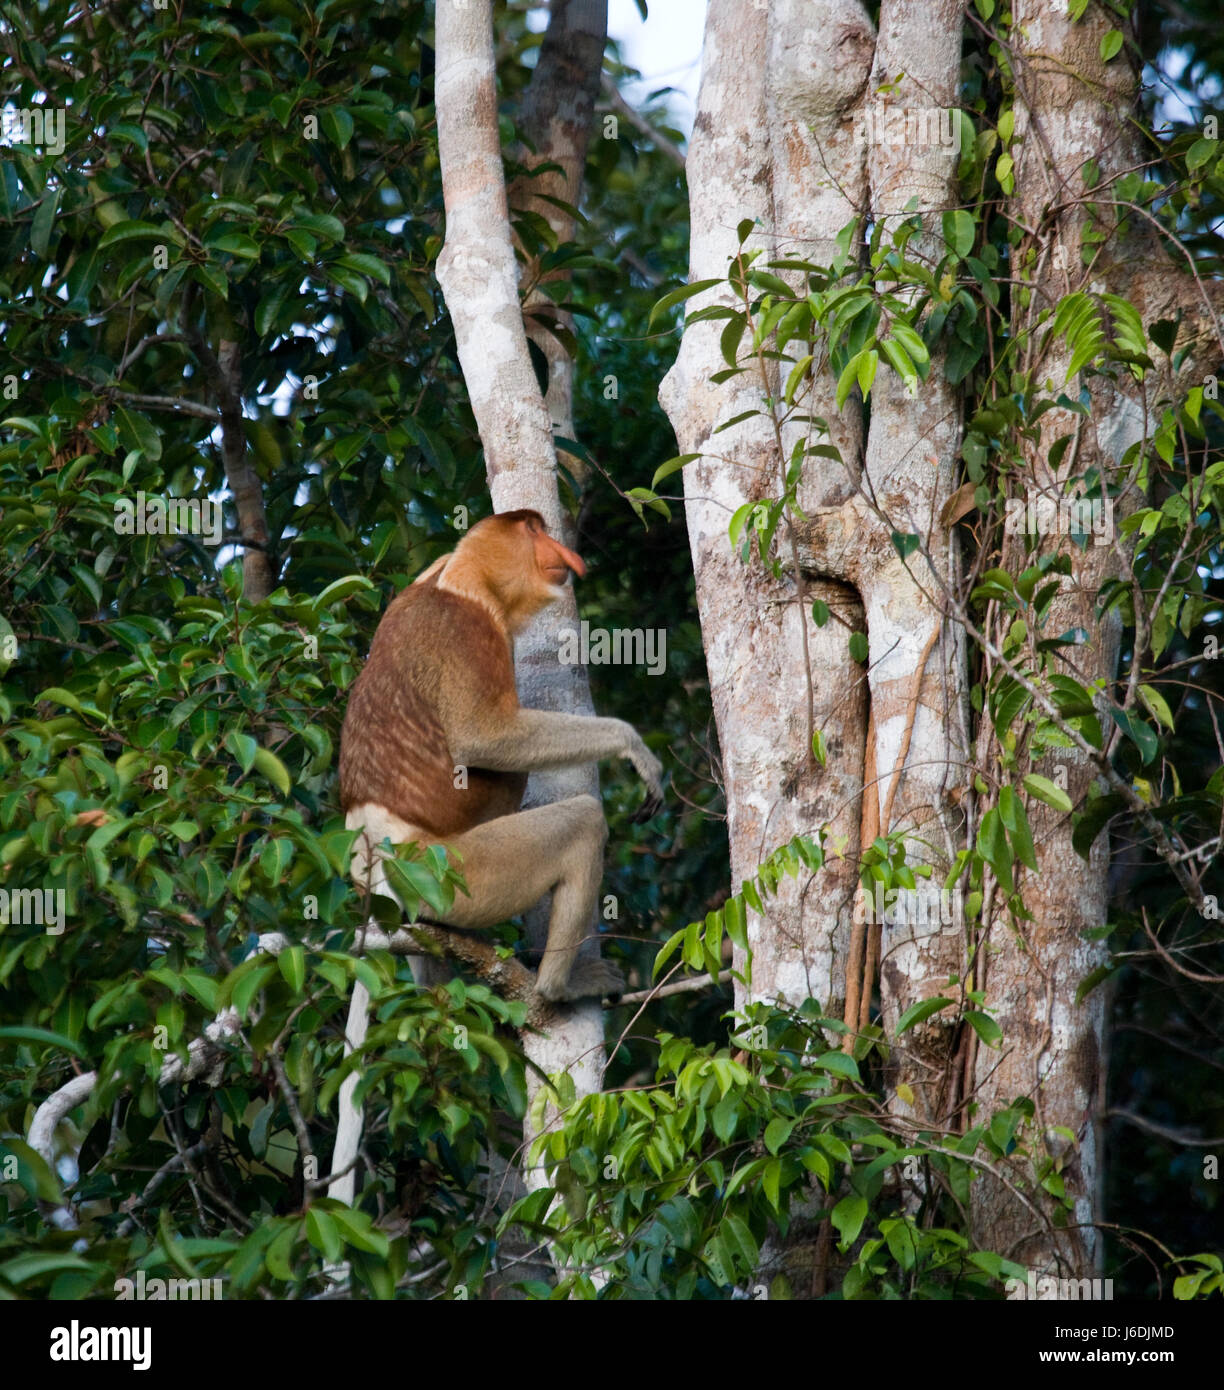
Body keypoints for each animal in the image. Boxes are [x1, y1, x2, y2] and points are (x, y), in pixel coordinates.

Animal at [338, 508, 663, 1003]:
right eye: (533, 530)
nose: (564, 554)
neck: (458, 574)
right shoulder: (469, 626)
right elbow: (483, 736)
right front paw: (636, 749)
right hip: (446, 875)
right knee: (583, 823)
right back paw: (557, 988)